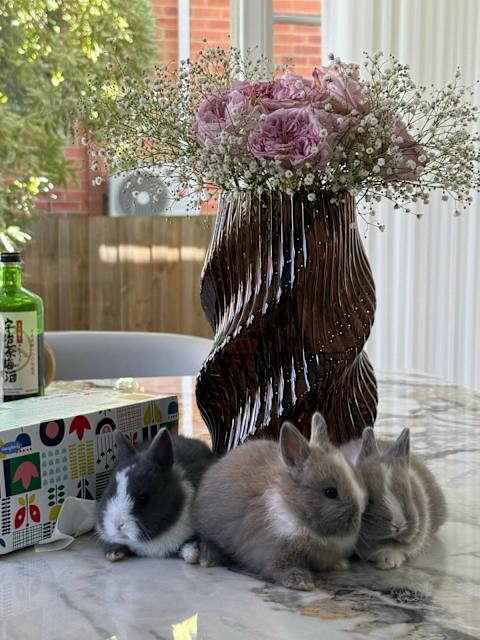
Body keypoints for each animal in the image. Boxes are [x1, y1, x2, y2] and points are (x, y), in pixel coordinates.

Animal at [97, 428, 215, 563]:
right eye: (110, 493)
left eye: (143, 498)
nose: (118, 525)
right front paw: (113, 554)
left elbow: (191, 543)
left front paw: (192, 556)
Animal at [192, 413, 367, 591]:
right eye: (330, 492)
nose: (358, 516)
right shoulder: (274, 550)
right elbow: (281, 567)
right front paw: (302, 582)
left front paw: (341, 565)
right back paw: (209, 559)